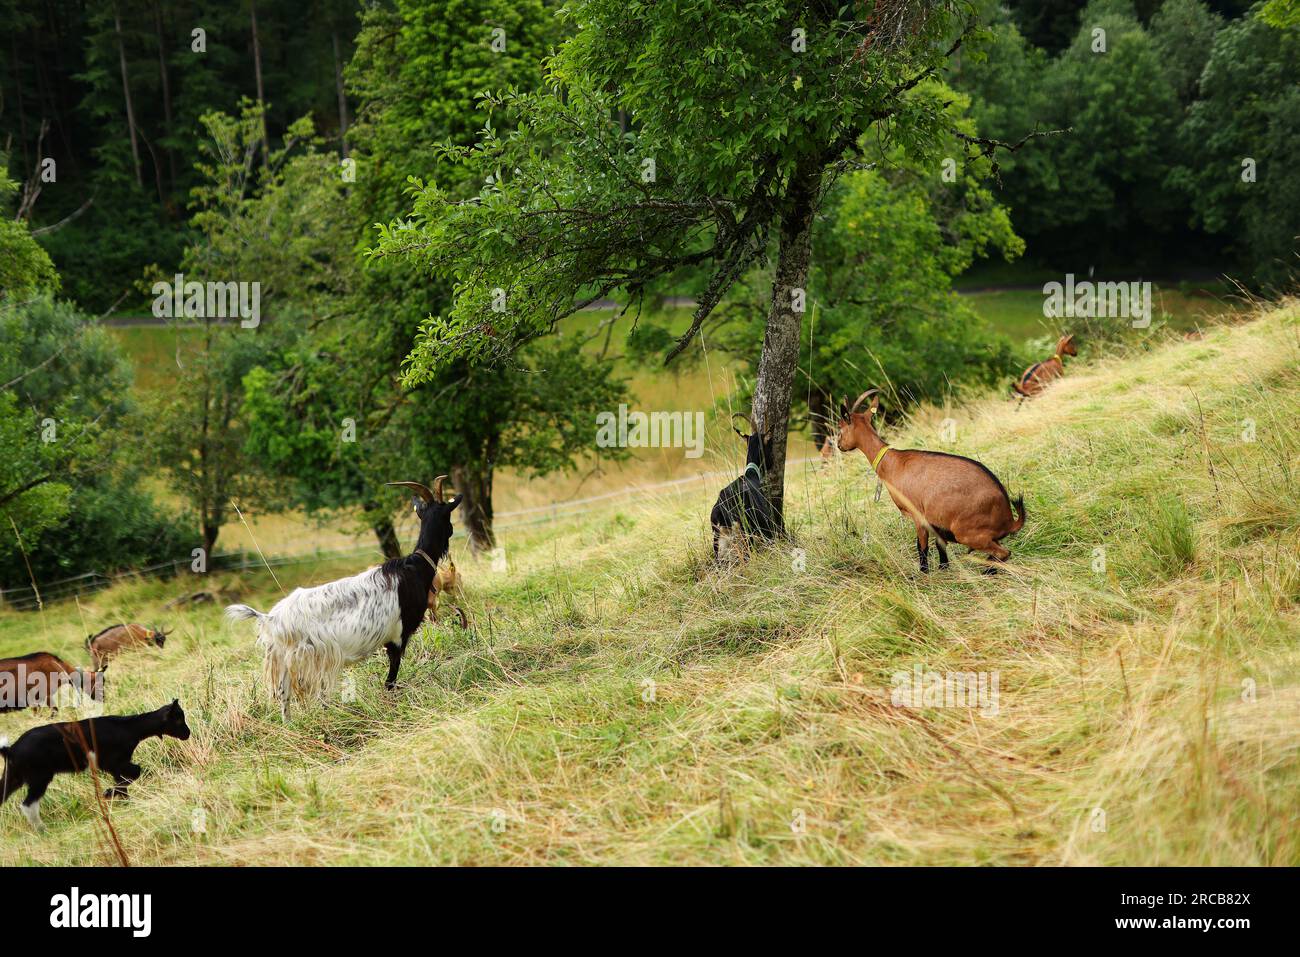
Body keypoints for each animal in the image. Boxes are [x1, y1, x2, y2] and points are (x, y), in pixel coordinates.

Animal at [1, 700, 190, 830]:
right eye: (178, 720)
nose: (187, 734)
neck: (130, 728)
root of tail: (11, 750)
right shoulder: (112, 761)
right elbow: (135, 772)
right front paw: (109, 794)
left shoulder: (116, 766)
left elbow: (125, 780)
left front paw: (123, 800)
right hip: (39, 776)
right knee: (28, 803)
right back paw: (42, 829)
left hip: (14, 776)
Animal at [227, 476, 462, 719]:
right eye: (447, 515)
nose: (452, 529)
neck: (415, 567)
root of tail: (270, 618)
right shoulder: (398, 636)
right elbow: (391, 677)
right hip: (307, 656)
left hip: (285, 658)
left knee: (285, 696)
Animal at [837, 390, 1025, 573]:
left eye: (840, 427)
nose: (839, 445)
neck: (892, 462)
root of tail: (1009, 520)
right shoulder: (935, 522)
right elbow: (940, 545)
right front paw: (943, 570)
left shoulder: (918, 516)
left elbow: (922, 547)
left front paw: (923, 573)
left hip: (967, 533)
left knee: (1003, 553)